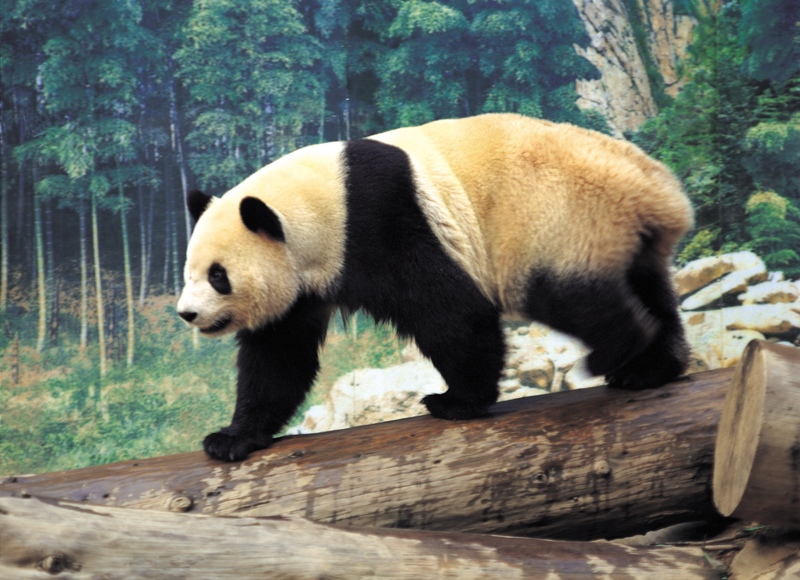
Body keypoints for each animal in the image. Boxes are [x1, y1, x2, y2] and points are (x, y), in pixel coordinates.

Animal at [177, 113, 694, 462]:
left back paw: (619, 353)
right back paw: (652, 367)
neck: (319, 200)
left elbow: (448, 310)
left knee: (574, 296)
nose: (188, 314)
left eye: (218, 275)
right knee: (650, 292)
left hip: (558, 218)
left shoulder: (379, 217)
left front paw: (456, 401)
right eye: (188, 272)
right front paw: (232, 438)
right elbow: (279, 356)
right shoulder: (303, 283)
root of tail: (663, 193)